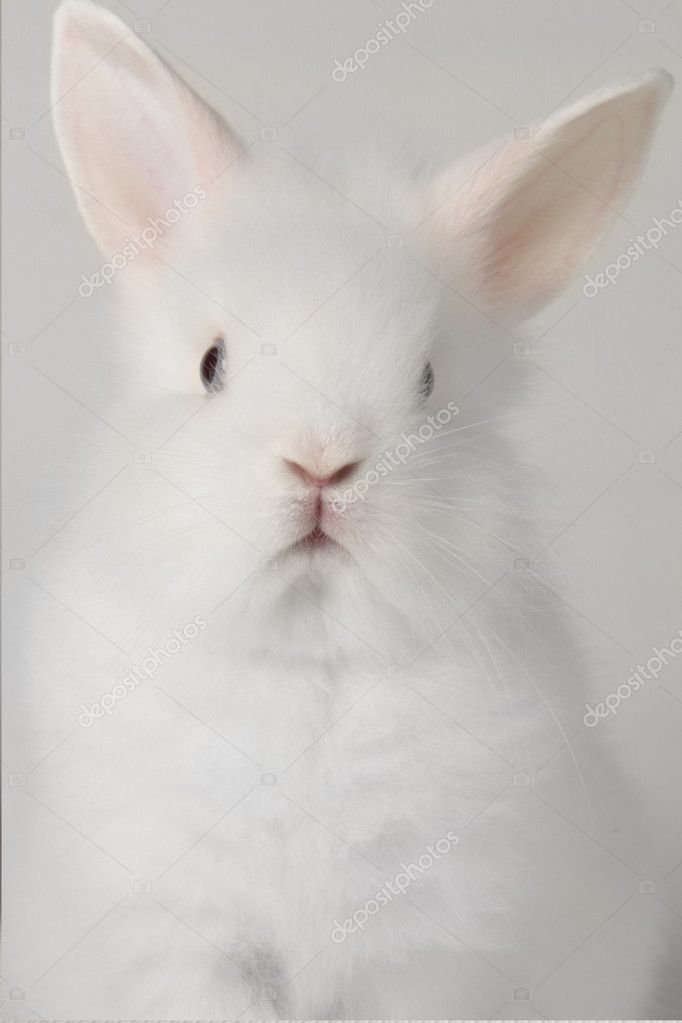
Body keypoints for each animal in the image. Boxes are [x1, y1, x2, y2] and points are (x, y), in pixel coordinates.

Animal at [5, 0, 677, 1017]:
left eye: (428, 382)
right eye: (212, 363)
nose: (322, 464)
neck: (304, 658)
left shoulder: (421, 951)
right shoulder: (185, 942)